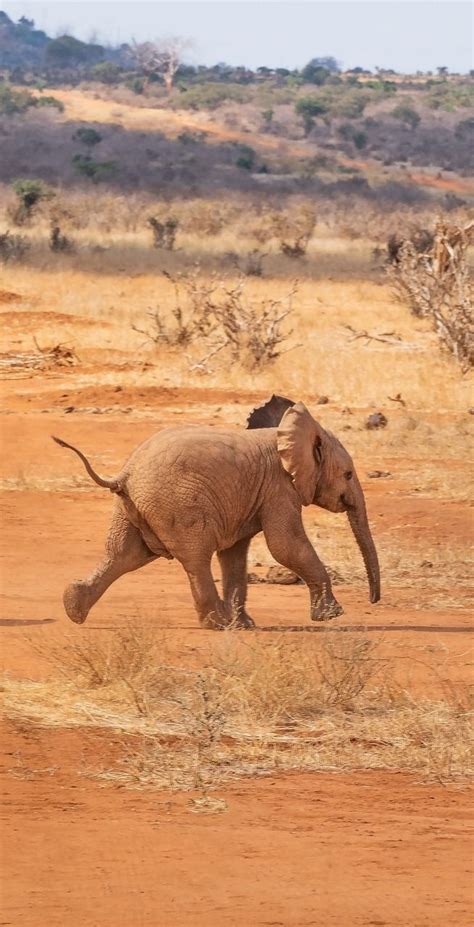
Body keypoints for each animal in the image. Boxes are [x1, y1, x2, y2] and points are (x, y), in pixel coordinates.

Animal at [52, 394, 380, 629]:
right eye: (348, 474)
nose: (374, 601)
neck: (286, 433)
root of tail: (126, 474)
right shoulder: (280, 488)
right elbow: (285, 546)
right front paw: (333, 616)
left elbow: (235, 555)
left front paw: (245, 626)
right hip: (178, 504)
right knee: (195, 559)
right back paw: (217, 624)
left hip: (132, 507)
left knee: (123, 556)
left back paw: (73, 609)